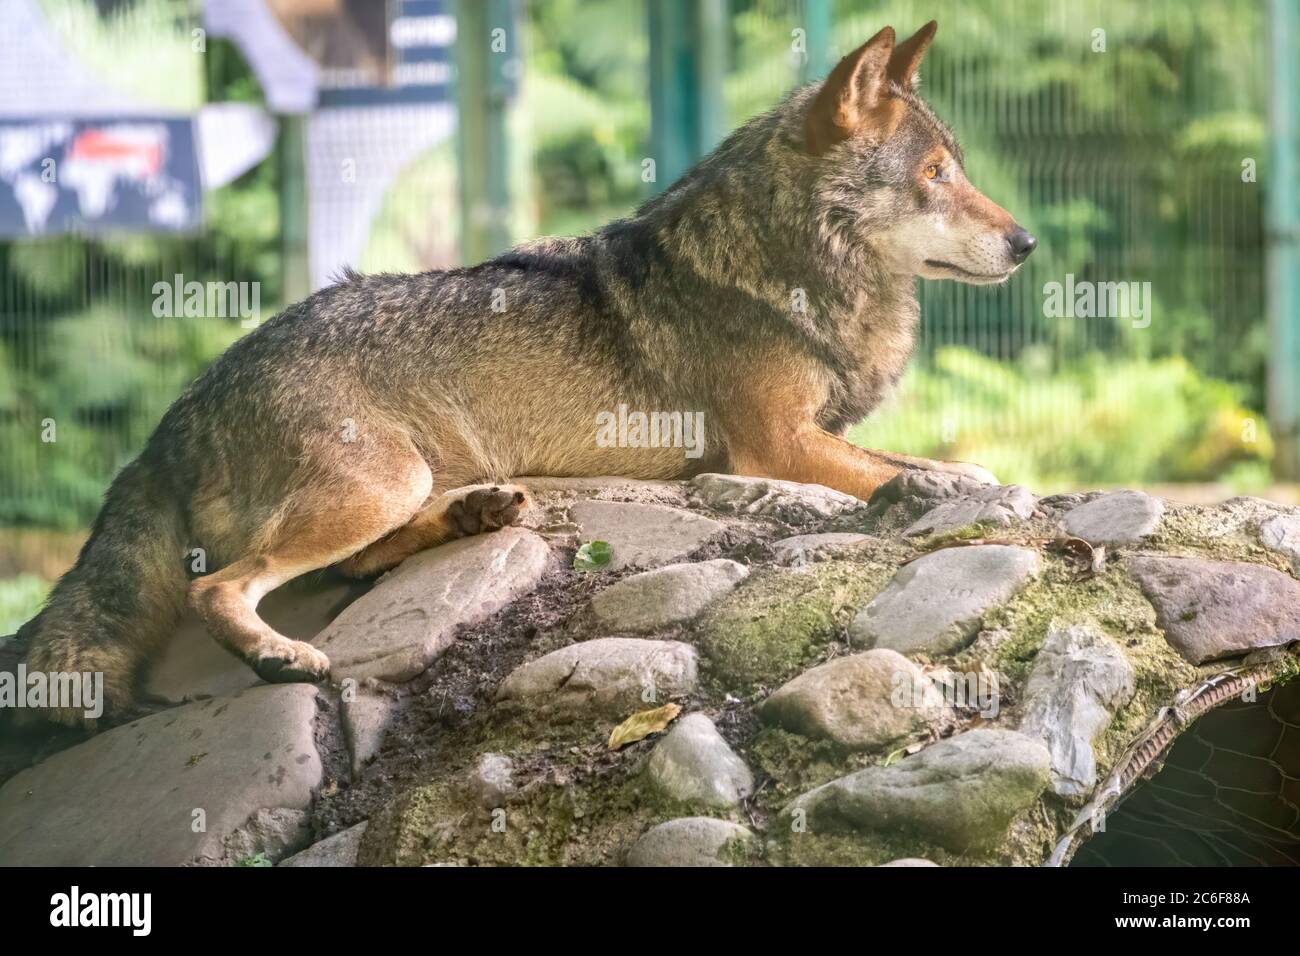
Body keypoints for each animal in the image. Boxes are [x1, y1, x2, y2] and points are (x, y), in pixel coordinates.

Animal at [16, 21, 1034, 728]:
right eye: (936, 174)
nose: (1026, 242)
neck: (792, 263)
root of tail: (181, 406)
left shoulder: (814, 432)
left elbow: (923, 458)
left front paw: (956, 473)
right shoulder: (776, 443)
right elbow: (907, 468)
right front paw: (944, 482)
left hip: (395, 486)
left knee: (355, 563)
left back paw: (474, 516)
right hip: (379, 482)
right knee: (221, 588)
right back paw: (279, 658)